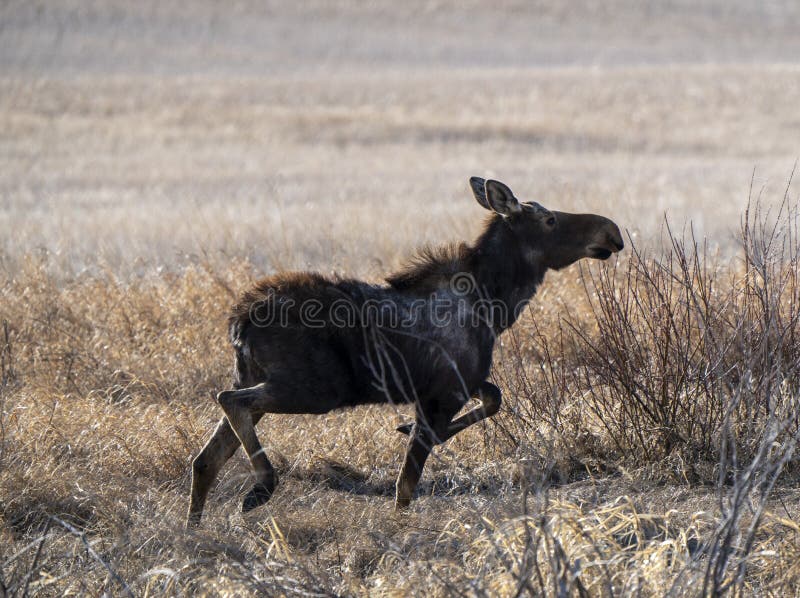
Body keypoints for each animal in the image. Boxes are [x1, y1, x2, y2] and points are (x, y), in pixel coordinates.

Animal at [187, 177, 624, 526]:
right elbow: (406, 484)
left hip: (259, 376)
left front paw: (408, 429)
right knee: (230, 402)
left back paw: (195, 529)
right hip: (313, 389)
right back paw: (261, 488)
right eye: (550, 220)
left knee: (206, 457)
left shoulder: (454, 384)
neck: (496, 302)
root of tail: (239, 320)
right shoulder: (444, 392)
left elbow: (494, 398)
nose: (611, 231)